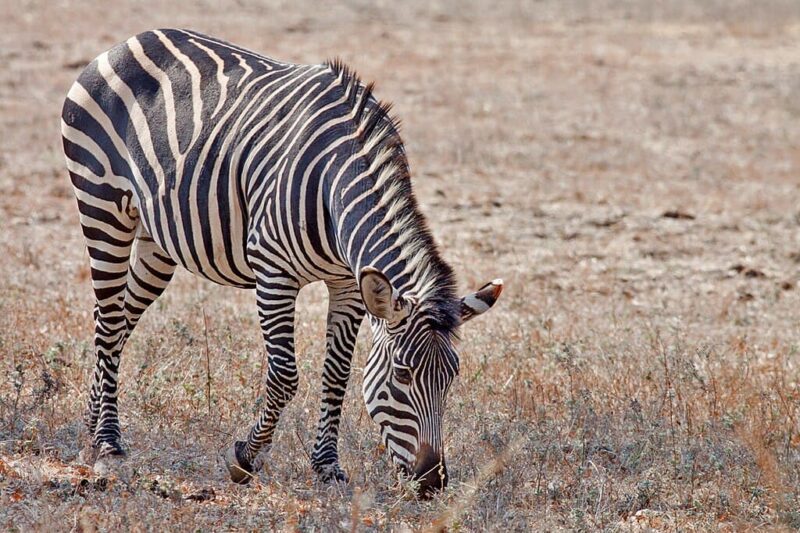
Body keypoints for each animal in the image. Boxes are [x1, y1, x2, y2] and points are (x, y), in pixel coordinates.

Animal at [61, 29, 503, 497]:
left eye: (452, 376)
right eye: (402, 375)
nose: (434, 481)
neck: (334, 189)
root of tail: (133, 39)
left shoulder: (348, 283)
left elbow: (337, 375)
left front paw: (327, 466)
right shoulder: (273, 273)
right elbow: (285, 376)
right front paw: (244, 458)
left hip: (157, 239)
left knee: (117, 321)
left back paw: (92, 427)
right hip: (102, 206)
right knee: (109, 321)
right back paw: (108, 443)